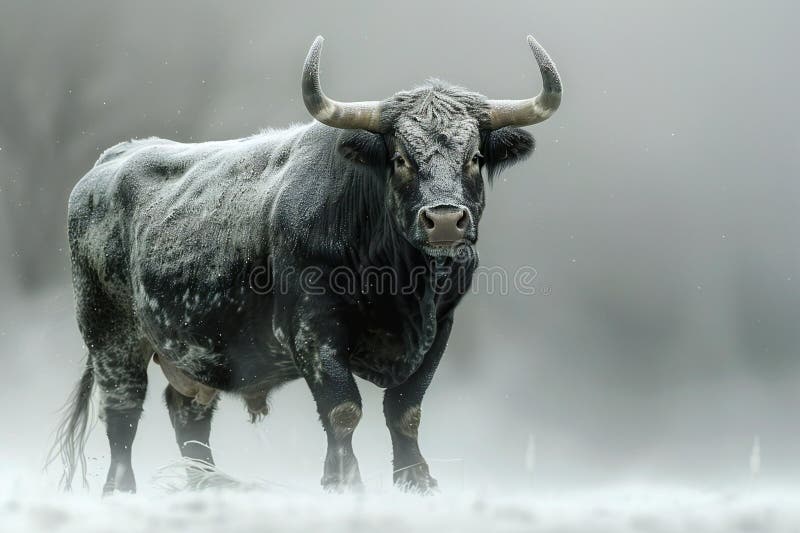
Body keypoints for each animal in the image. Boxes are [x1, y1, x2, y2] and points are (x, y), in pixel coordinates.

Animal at [50, 35, 562, 494]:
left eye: (474, 157)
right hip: (111, 335)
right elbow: (343, 410)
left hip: (191, 354)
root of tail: (110, 162)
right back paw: (121, 490)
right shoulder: (312, 331)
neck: (400, 282)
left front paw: (416, 480)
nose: (444, 220)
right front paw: (344, 482)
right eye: (400, 158)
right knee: (122, 413)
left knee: (188, 414)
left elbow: (406, 410)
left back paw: (206, 485)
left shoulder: (441, 327)